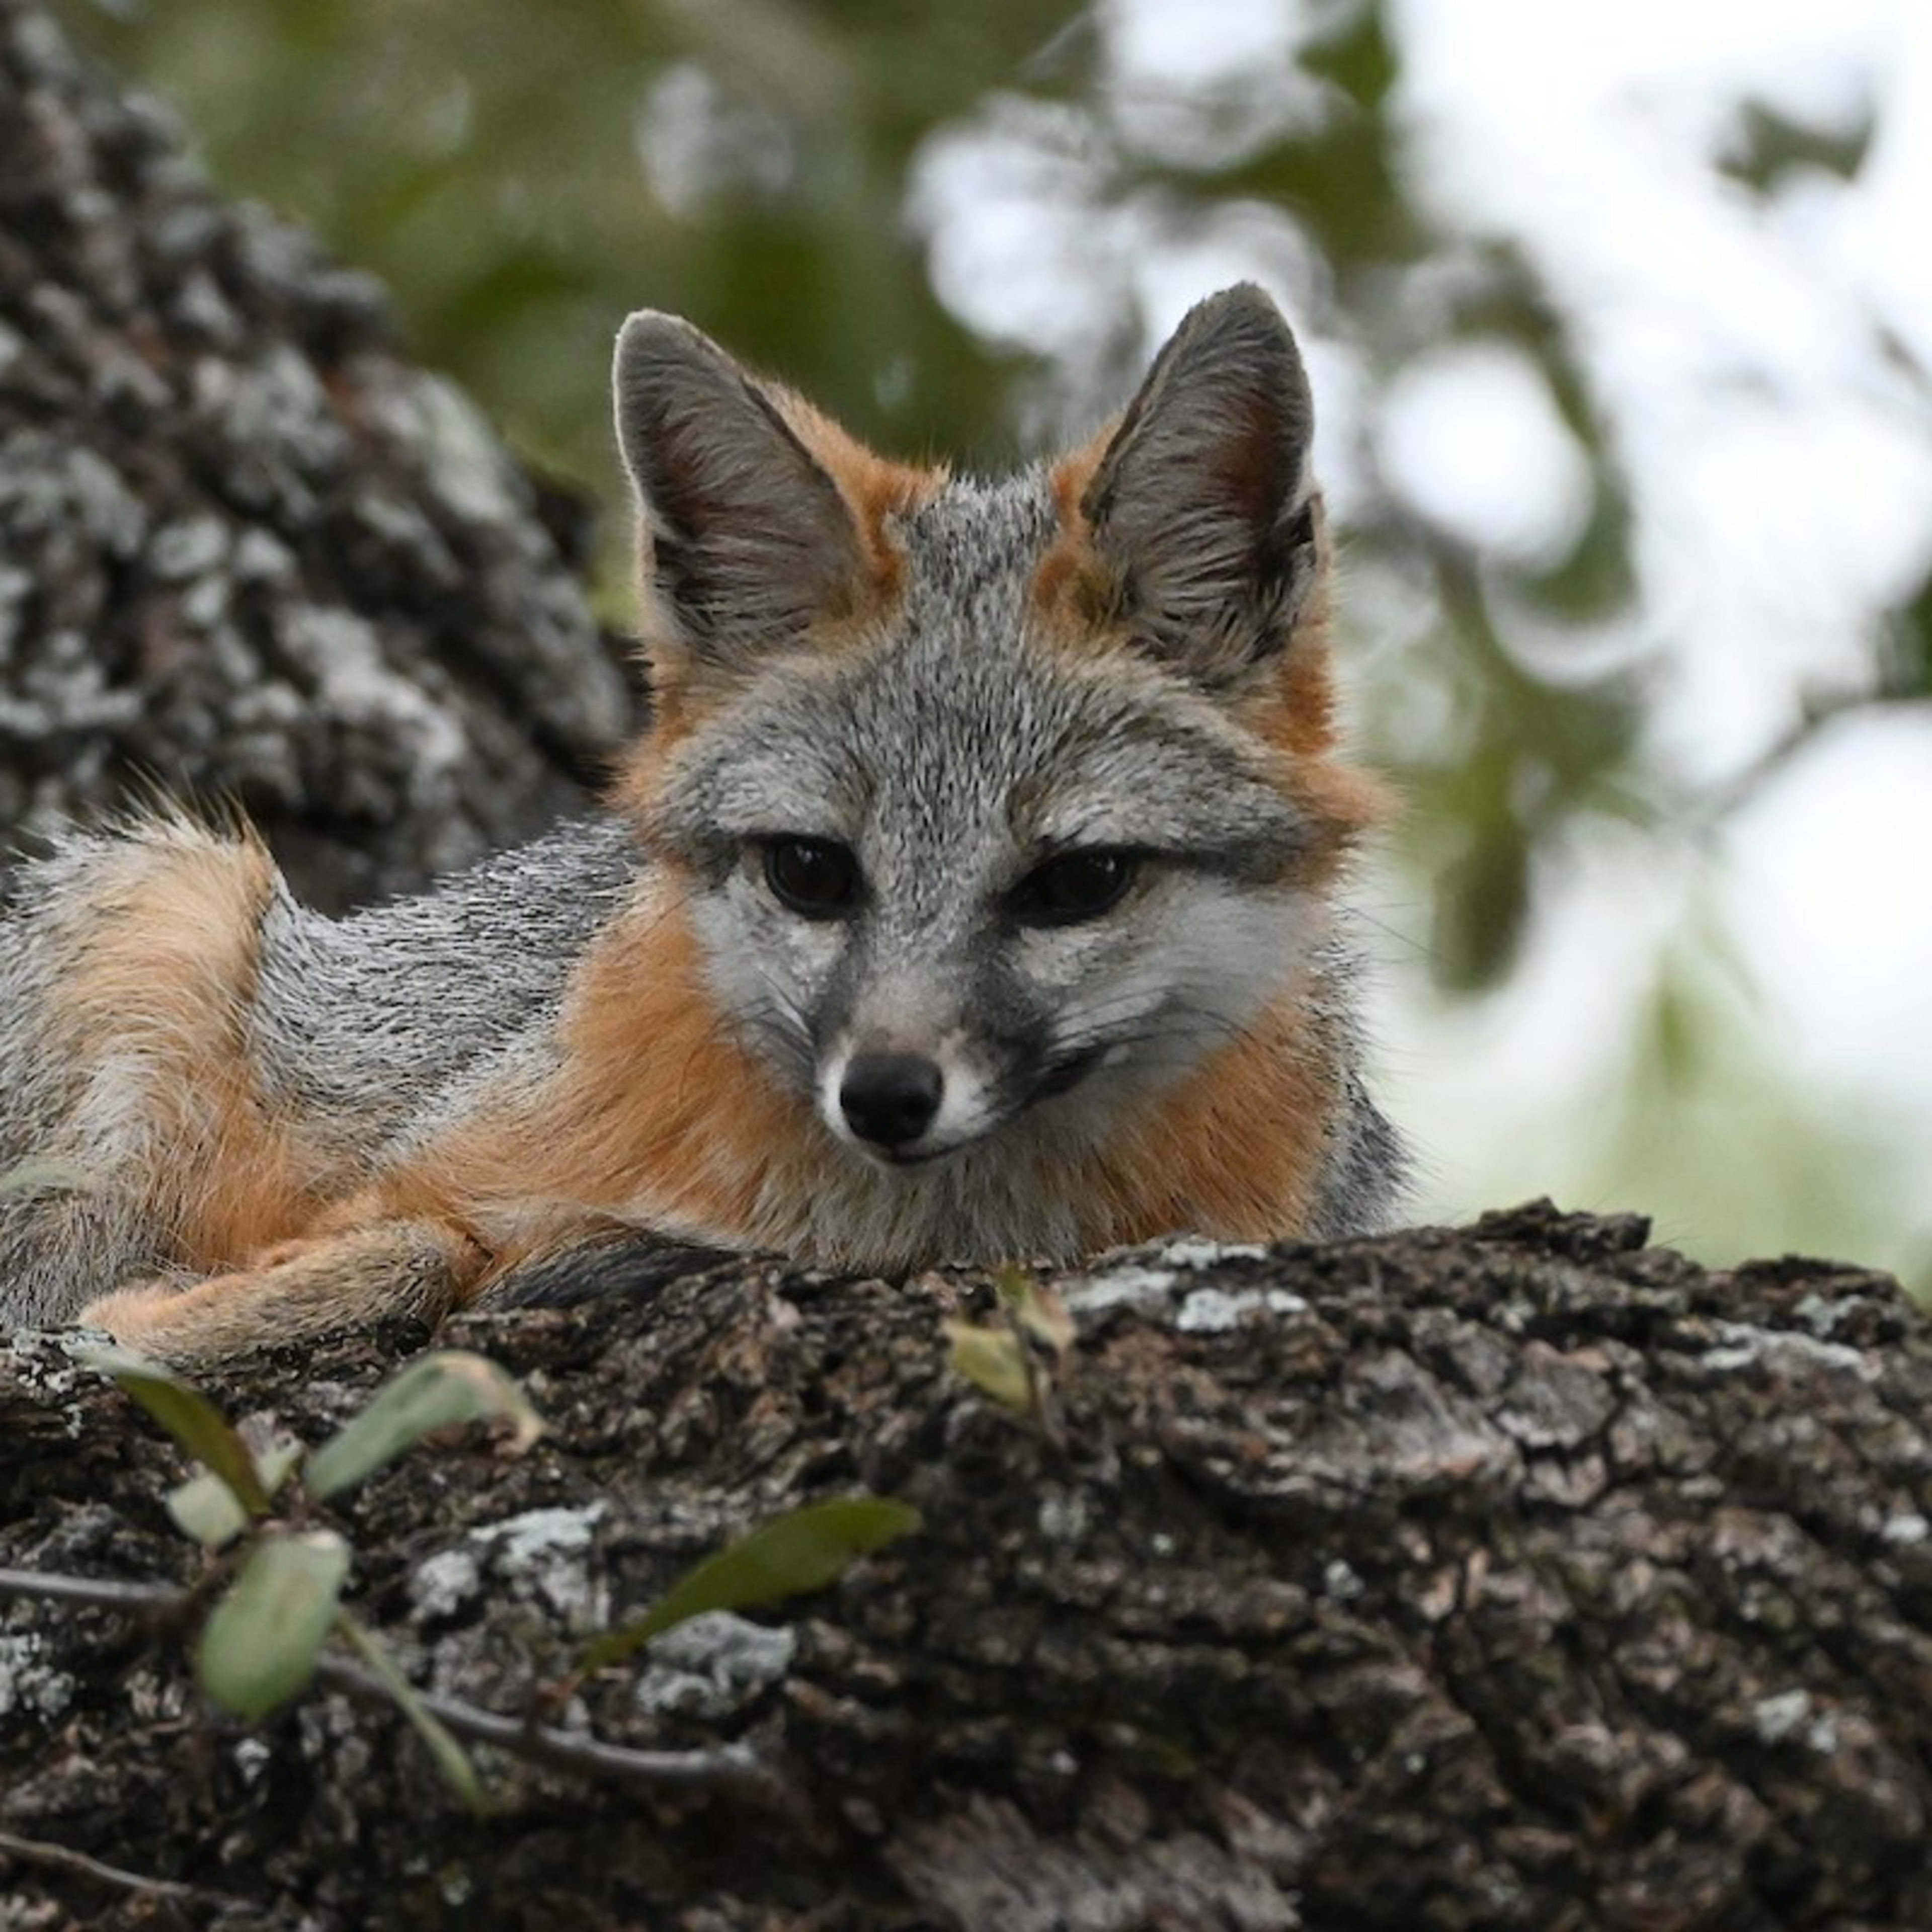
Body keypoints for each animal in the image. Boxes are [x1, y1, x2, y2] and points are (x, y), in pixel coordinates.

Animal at [0, 284, 1404, 1363]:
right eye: (810, 872)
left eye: (1078, 882)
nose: (886, 1095)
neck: (914, 1225)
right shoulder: (410, 1164)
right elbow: (405, 1247)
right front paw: (158, 1316)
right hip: (170, 909)